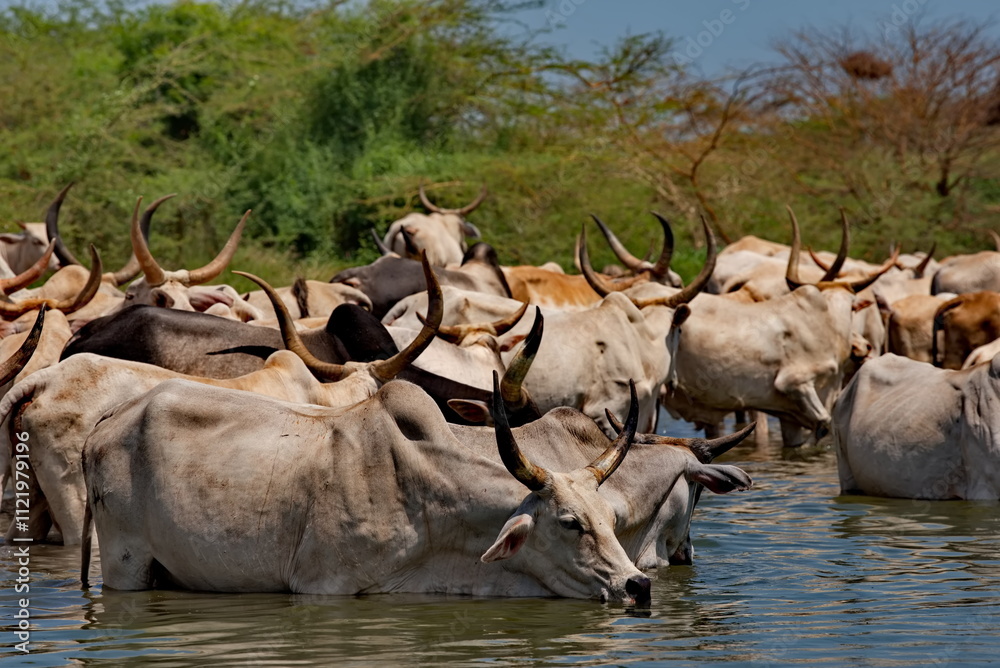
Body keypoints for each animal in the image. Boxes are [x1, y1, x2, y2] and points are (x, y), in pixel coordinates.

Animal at [81, 375, 652, 602]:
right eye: (570, 523)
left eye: (611, 520)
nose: (638, 586)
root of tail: (107, 421)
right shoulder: (322, 586)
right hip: (126, 562)